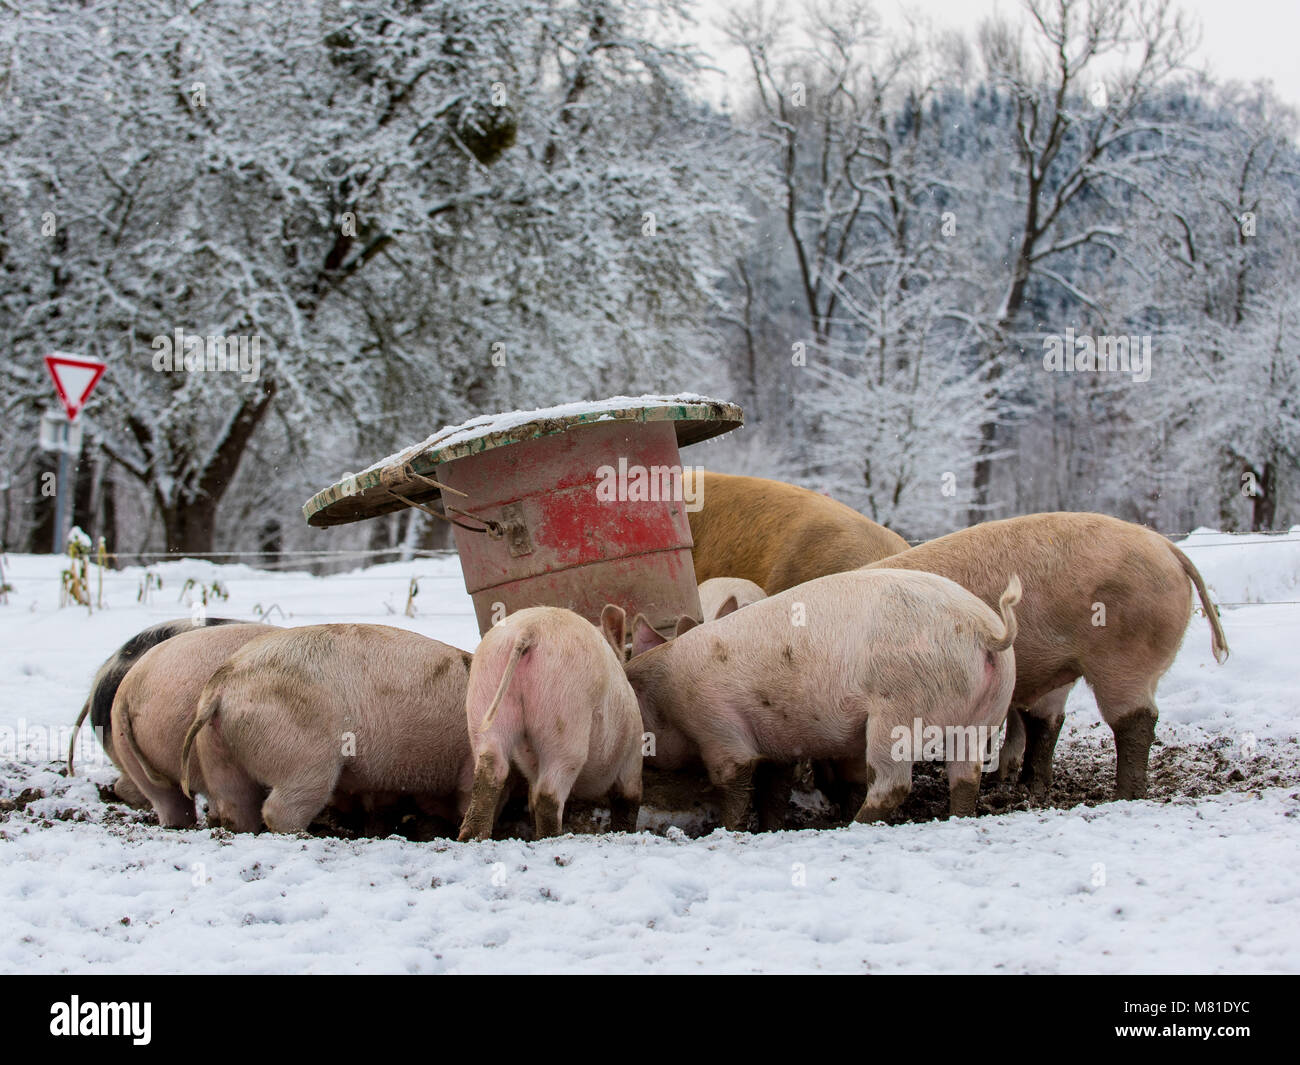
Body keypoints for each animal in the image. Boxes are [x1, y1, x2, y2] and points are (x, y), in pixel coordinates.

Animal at [180, 624, 474, 834]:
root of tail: (222, 684)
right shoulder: (468, 762)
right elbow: (466, 798)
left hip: (215, 752)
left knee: (235, 805)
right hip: (303, 753)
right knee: (280, 808)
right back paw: (306, 835)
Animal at [458, 605, 643, 842]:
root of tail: (529, 630)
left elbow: (531, 795)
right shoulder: (633, 752)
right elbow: (629, 798)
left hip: (484, 692)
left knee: (492, 768)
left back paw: (471, 837)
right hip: (564, 715)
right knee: (548, 794)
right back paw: (552, 838)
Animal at [625, 568, 1021, 830]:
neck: (664, 692)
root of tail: (985, 630)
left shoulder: (716, 726)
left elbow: (735, 783)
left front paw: (728, 830)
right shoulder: (779, 742)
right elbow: (773, 789)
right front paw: (770, 828)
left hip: (900, 712)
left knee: (891, 783)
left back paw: (854, 827)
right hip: (983, 717)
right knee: (966, 777)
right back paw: (958, 817)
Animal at [866, 512, 1229, 799]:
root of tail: (1168, 548)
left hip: (1125, 658)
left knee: (1137, 720)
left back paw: (1123, 796)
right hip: (1062, 667)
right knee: (1047, 721)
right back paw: (1028, 788)